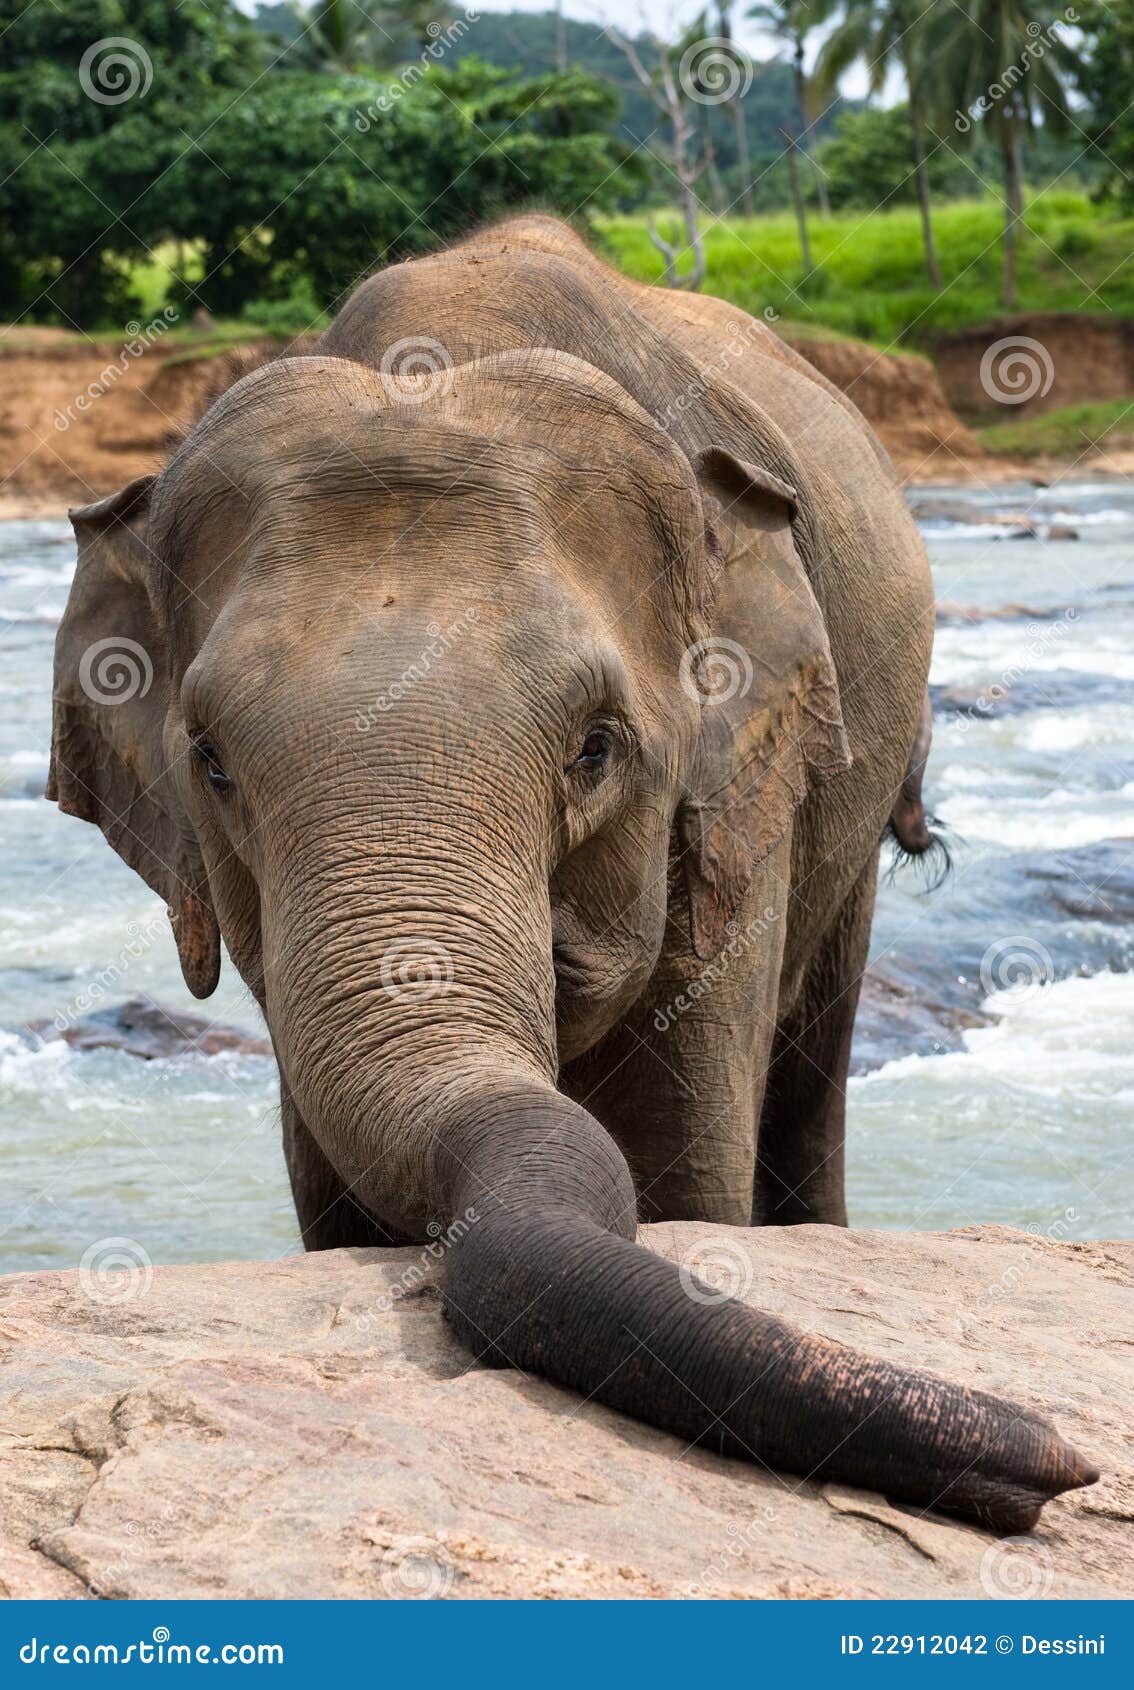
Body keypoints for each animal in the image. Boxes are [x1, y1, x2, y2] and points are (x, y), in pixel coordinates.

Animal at [49, 215, 1096, 1534]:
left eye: (595, 748)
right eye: (211, 762)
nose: (1059, 1463)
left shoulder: (737, 804)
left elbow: (677, 1163)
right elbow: (331, 1187)